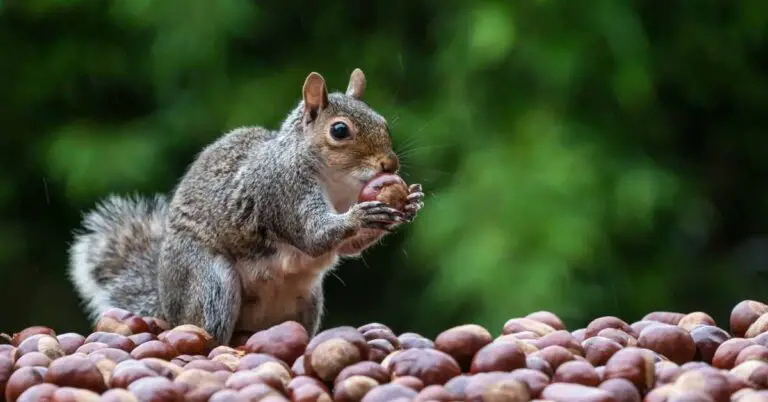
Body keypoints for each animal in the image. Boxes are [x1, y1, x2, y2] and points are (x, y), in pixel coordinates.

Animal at [67, 69, 425, 346]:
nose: (390, 164)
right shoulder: (281, 191)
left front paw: (407, 203)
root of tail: (167, 306)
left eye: (383, 122)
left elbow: (347, 247)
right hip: (210, 283)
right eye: (339, 130)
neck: (335, 181)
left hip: (307, 301)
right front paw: (362, 215)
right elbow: (314, 236)